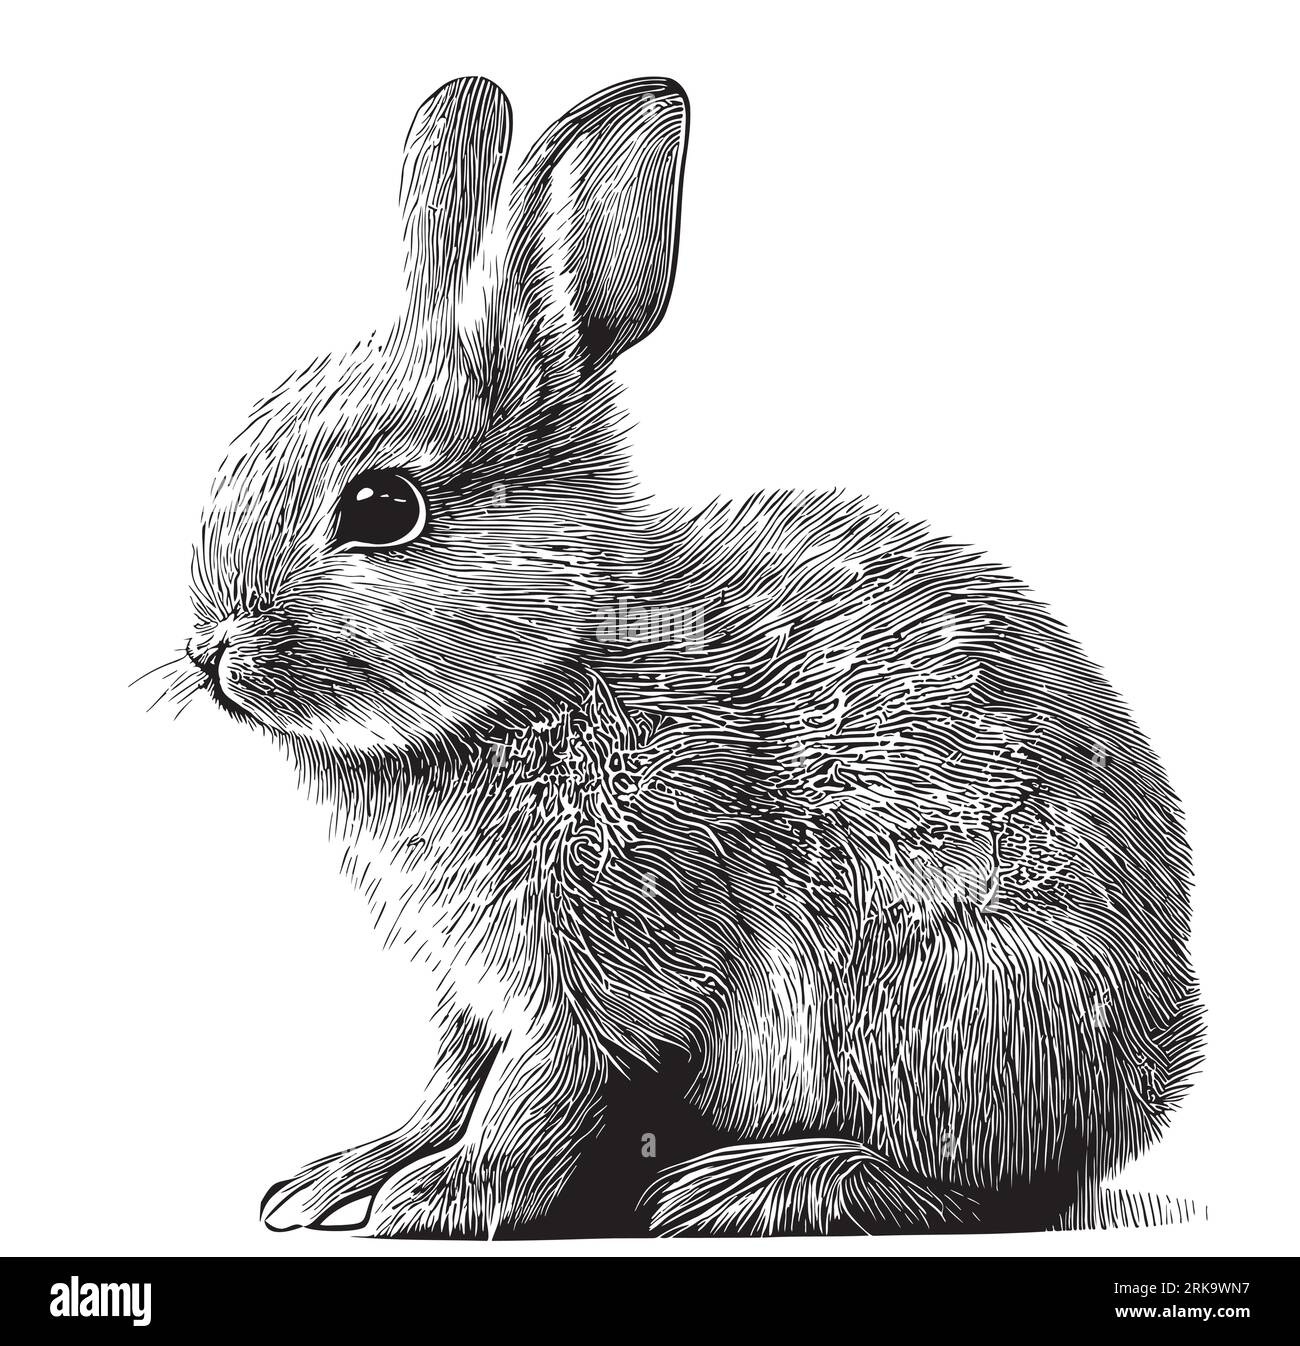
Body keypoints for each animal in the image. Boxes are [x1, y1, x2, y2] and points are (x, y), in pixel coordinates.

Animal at [180, 75, 1201, 1238]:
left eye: (382, 507)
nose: (209, 651)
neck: (548, 669)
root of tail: (1158, 1062)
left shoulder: (603, 958)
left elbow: (537, 1084)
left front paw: (446, 1195)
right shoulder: (473, 985)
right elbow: (449, 1077)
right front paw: (347, 1173)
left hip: (927, 1002)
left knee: (971, 1181)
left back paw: (750, 1184)